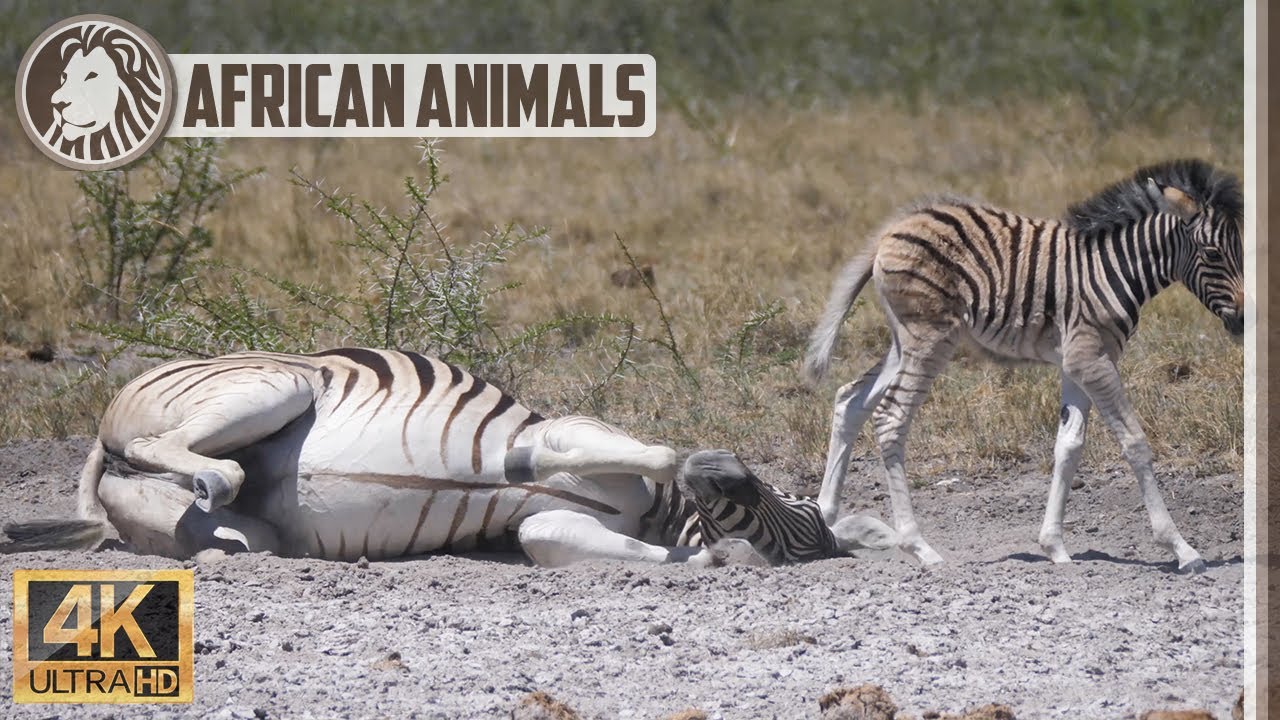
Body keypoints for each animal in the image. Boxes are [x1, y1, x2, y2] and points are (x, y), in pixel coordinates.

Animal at [802, 159, 1243, 573]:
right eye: (1212, 253)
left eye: (1243, 249)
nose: (1242, 322)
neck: (1113, 268)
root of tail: (892, 230)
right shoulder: (1091, 358)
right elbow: (1134, 442)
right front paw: (1181, 548)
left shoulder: (1076, 362)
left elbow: (1069, 445)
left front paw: (1055, 548)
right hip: (929, 338)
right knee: (891, 417)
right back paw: (918, 546)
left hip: (904, 341)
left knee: (850, 400)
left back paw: (825, 518)